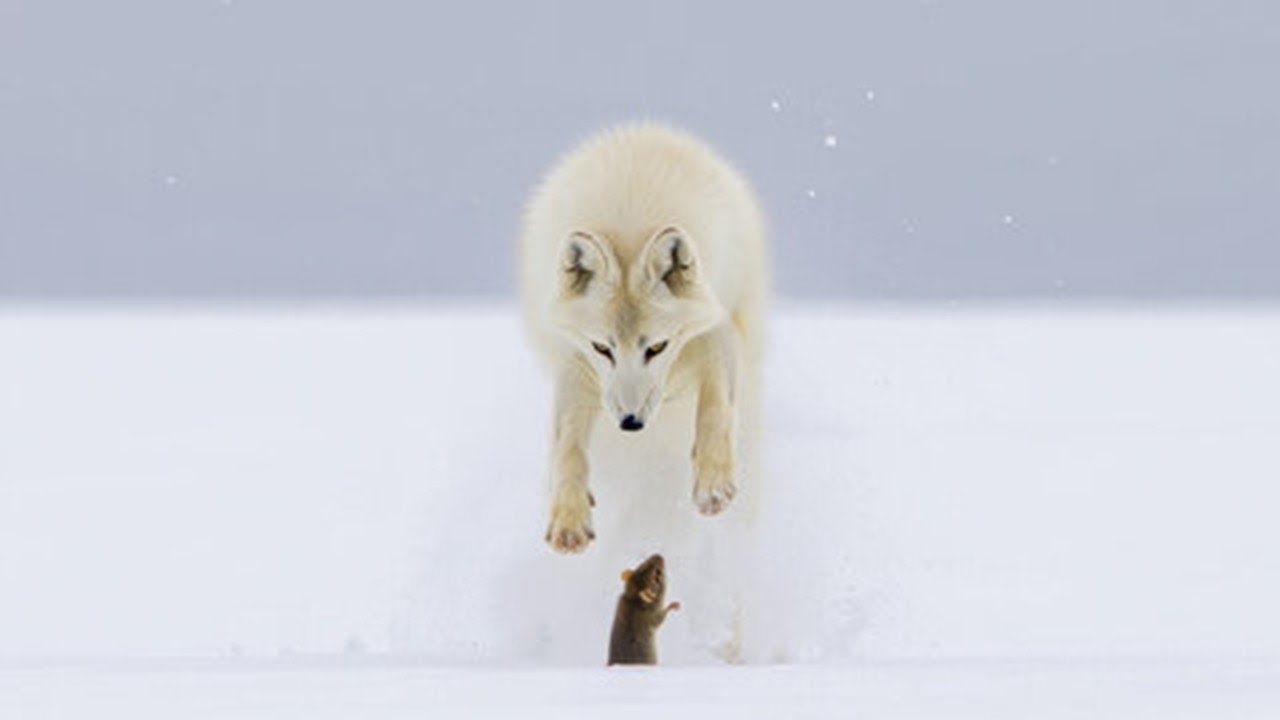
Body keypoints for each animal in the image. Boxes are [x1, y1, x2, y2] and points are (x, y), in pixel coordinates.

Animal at [518, 123, 769, 555]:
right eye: (602, 348)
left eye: (656, 347)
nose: (631, 423)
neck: (629, 225)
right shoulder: (575, 358)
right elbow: (568, 450)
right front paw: (569, 517)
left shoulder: (715, 326)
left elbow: (715, 409)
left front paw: (713, 483)